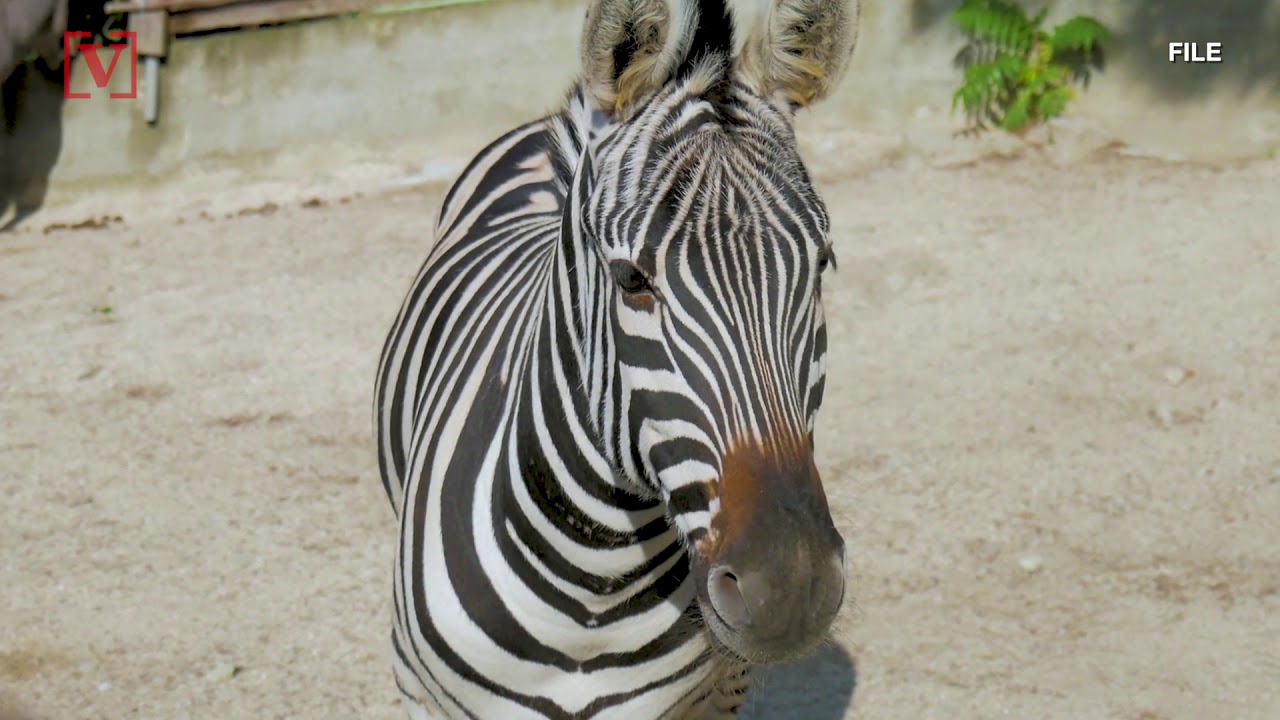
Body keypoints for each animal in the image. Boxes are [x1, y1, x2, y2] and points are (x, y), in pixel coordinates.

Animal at [373, 0, 860, 716]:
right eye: (631, 279)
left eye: (821, 265)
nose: (791, 590)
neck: (592, 588)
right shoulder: (420, 694)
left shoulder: (716, 695)